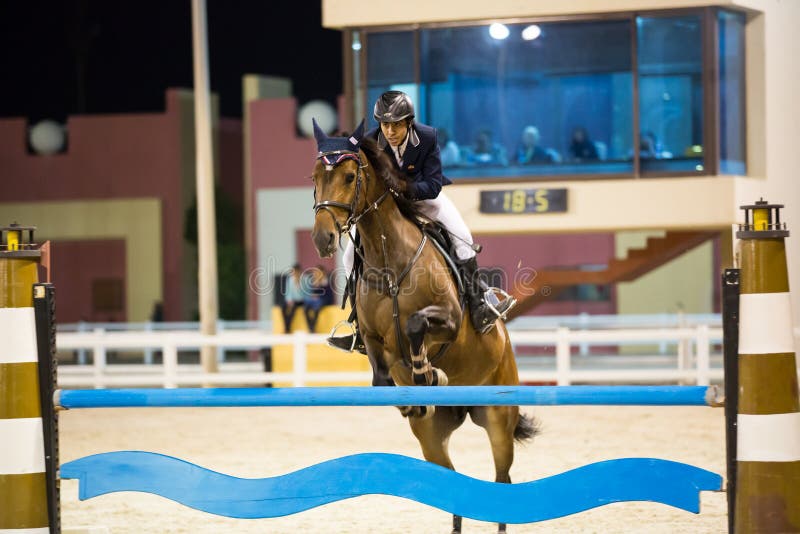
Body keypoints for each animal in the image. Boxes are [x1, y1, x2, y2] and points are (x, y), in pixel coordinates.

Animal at [310, 120, 537, 533]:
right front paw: (418, 390)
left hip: (499, 419)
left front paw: (427, 372)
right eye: (315, 177)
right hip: (433, 439)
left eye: (350, 177)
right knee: (453, 482)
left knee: (503, 481)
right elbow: (383, 379)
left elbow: (416, 326)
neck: (390, 259)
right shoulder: (371, 340)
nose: (323, 238)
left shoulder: (449, 321)